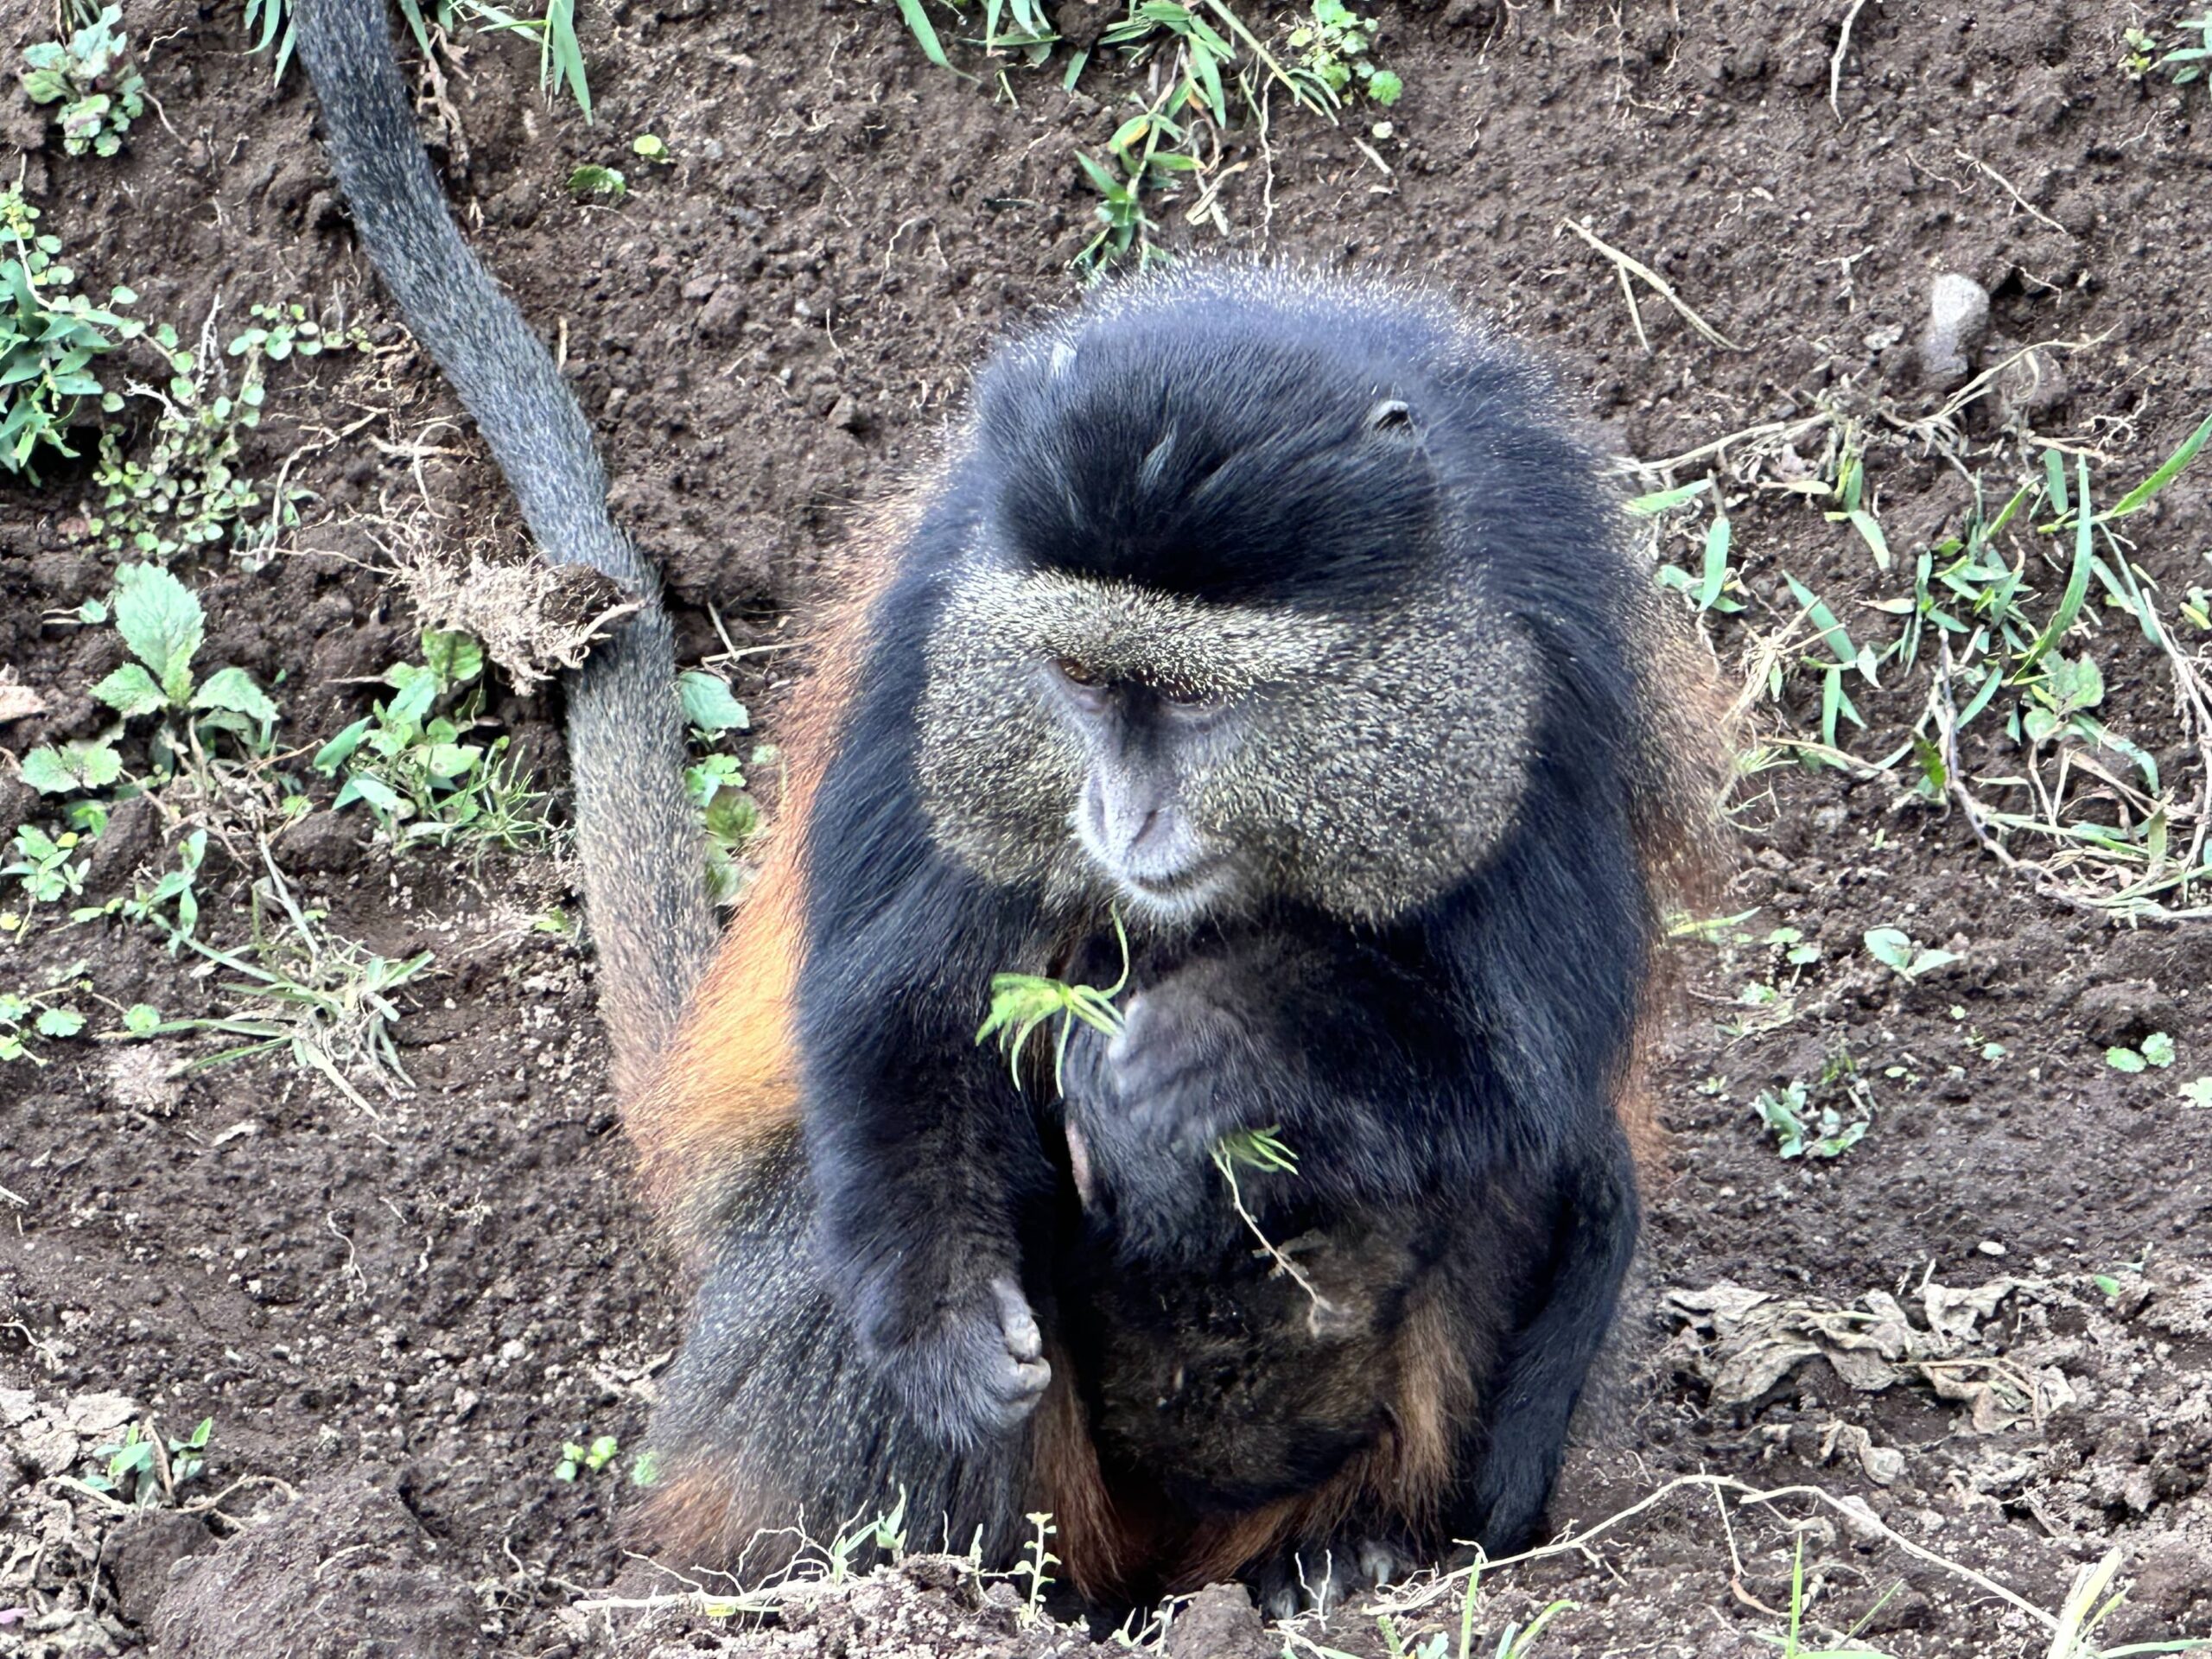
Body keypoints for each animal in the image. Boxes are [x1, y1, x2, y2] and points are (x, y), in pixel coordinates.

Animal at [297, 0, 1721, 1616]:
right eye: (1083, 681)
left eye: (1200, 705)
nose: (1125, 816)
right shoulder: (941, 614)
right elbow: (896, 1006)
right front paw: (944, 1307)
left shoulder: (1548, 664)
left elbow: (1524, 1050)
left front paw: (1222, 1046)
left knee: (1555, 1168)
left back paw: (1347, 1551)